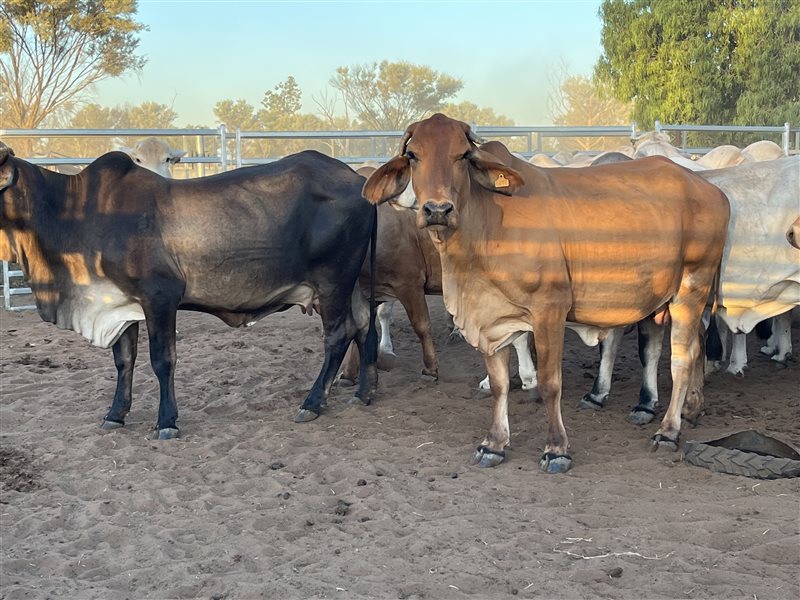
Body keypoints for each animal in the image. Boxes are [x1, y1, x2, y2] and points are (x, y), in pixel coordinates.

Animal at [0, 141, 378, 437]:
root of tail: (357, 179)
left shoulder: (160, 297)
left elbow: (162, 360)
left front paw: (167, 421)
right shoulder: (119, 303)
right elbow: (124, 361)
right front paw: (115, 414)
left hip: (333, 281)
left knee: (338, 336)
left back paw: (312, 403)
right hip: (352, 284)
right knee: (363, 326)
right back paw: (363, 392)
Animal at [362, 113, 730, 473]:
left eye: (463, 155)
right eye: (413, 155)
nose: (437, 210)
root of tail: (711, 189)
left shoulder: (549, 309)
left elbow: (550, 382)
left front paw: (556, 449)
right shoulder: (492, 317)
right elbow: (499, 383)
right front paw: (493, 443)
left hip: (692, 287)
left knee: (683, 357)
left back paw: (669, 430)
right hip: (661, 296)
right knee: (665, 348)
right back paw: (675, 408)